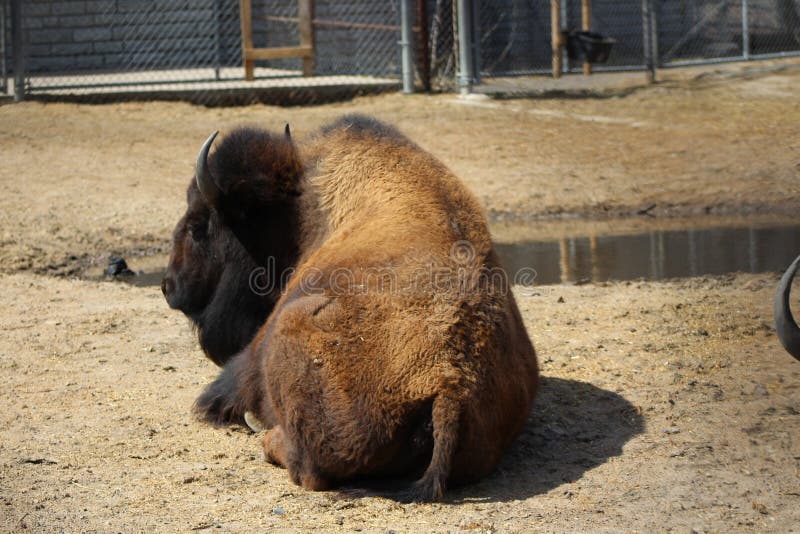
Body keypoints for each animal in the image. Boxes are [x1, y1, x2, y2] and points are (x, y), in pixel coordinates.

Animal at [163, 115, 539, 500]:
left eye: (198, 226)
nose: (168, 286)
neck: (301, 207)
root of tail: (452, 383)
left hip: (290, 328)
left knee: (307, 469)